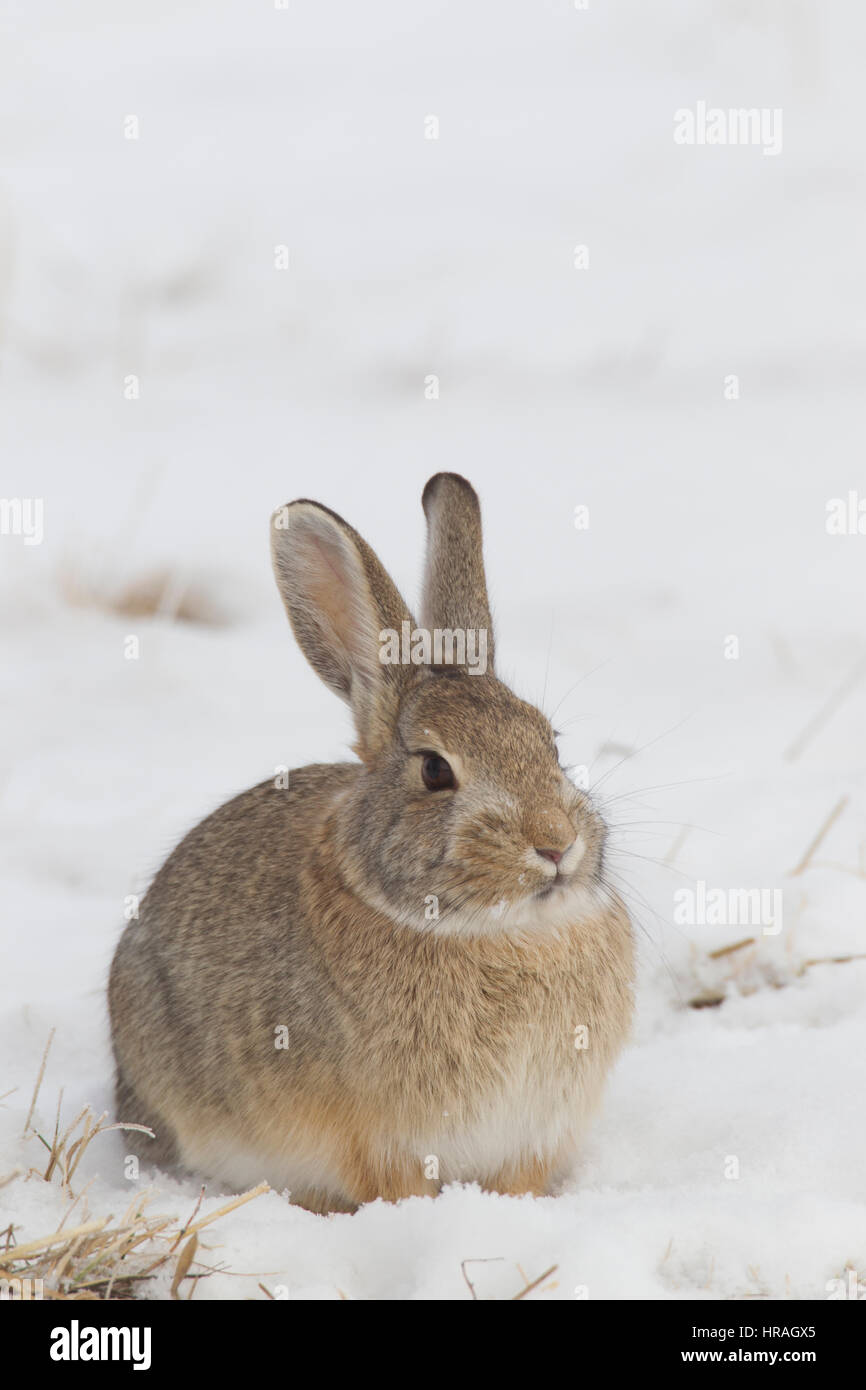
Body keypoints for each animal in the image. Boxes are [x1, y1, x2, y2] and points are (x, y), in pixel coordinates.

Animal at [108, 473, 634, 1213]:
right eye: (435, 770)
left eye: (550, 744)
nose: (557, 846)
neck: (497, 933)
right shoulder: (382, 1143)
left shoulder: (533, 1135)